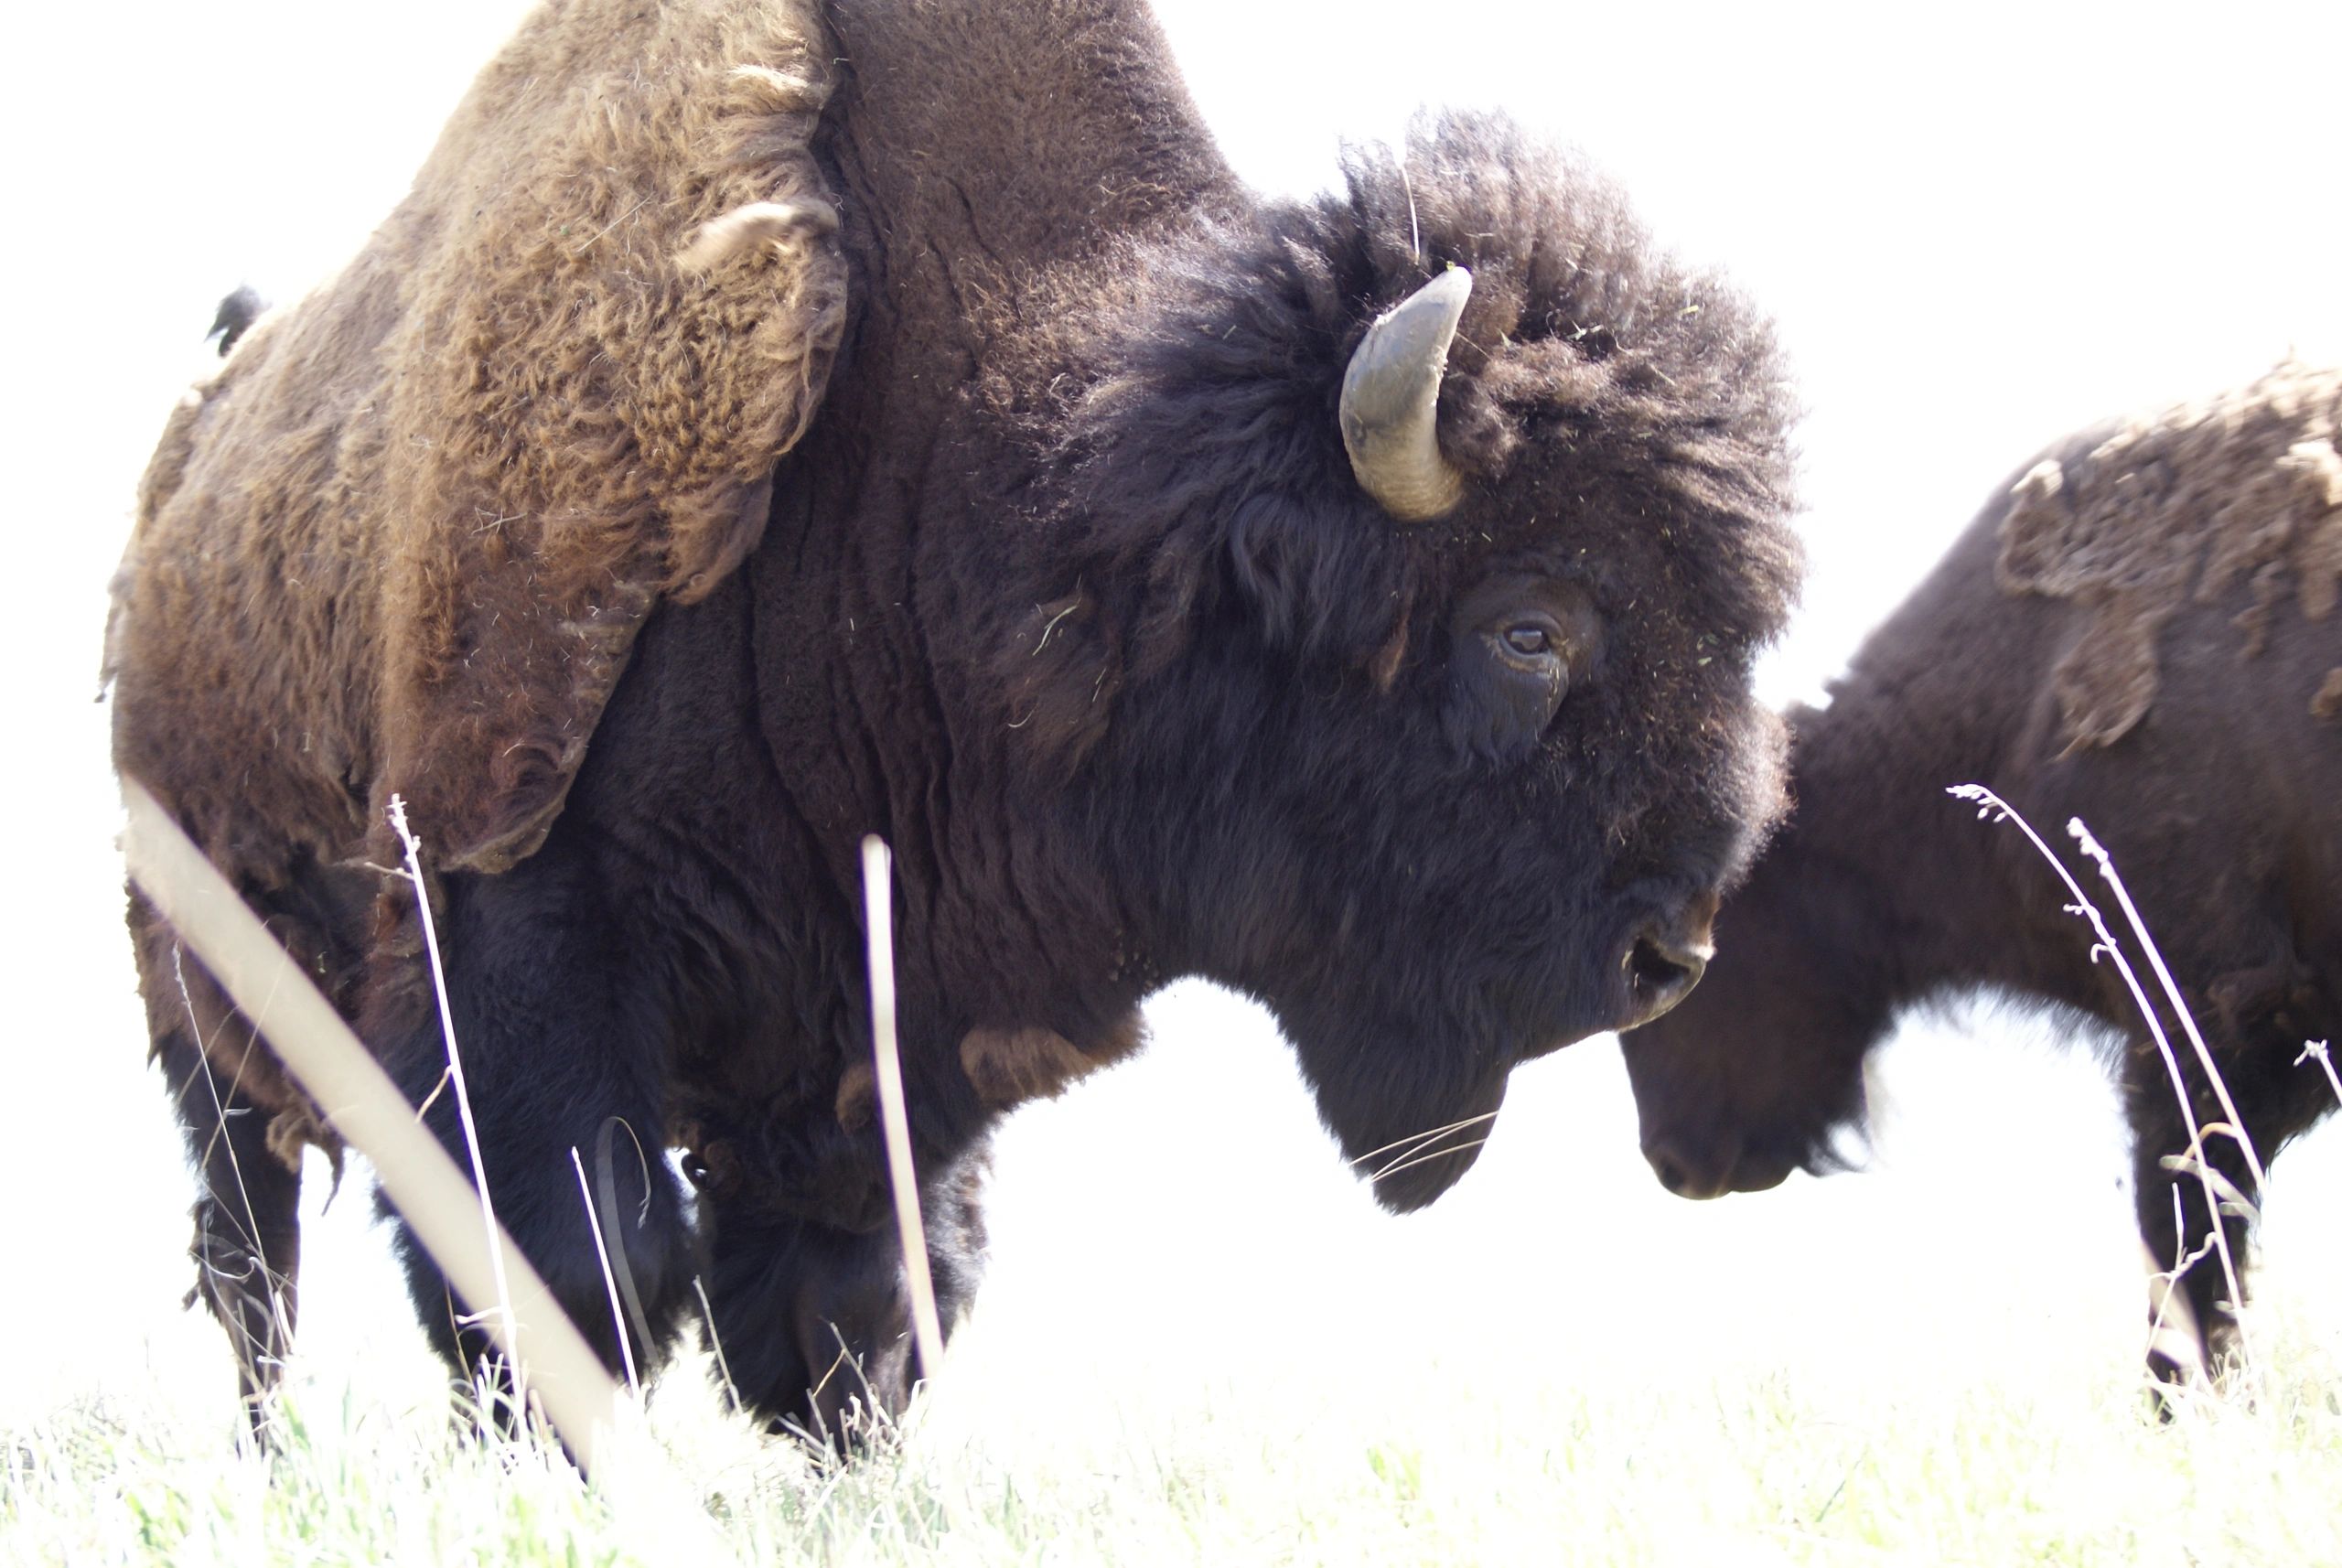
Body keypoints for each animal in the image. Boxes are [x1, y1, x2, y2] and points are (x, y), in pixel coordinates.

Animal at [110, 0, 1801, 1433]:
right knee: (252, 1261)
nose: (1672, 951)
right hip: (203, 1003)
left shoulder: (887, 1034)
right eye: (1531, 626)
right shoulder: (508, 905)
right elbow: (583, 1270)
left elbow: (854, 1321)